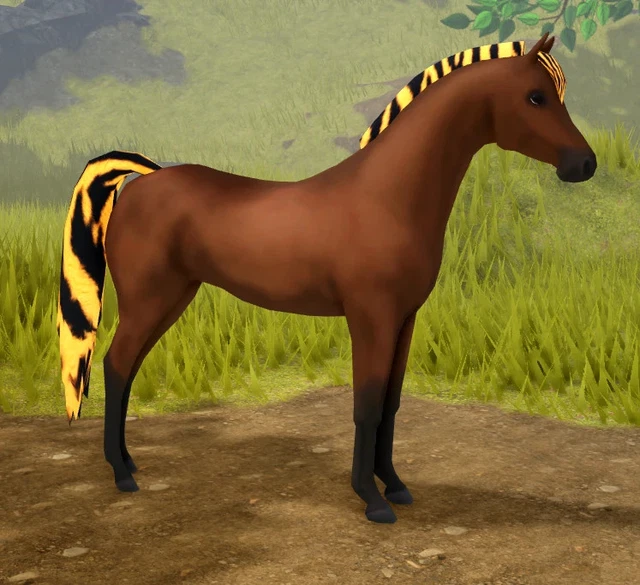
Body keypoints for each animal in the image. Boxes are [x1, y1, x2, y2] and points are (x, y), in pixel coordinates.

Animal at [57, 33, 596, 524]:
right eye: (535, 96)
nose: (584, 164)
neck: (389, 197)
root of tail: (143, 179)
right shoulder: (371, 319)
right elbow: (368, 405)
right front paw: (372, 500)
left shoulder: (404, 320)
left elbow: (392, 404)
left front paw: (395, 484)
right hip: (150, 300)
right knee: (117, 366)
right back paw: (122, 475)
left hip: (172, 299)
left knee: (125, 369)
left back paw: (129, 464)